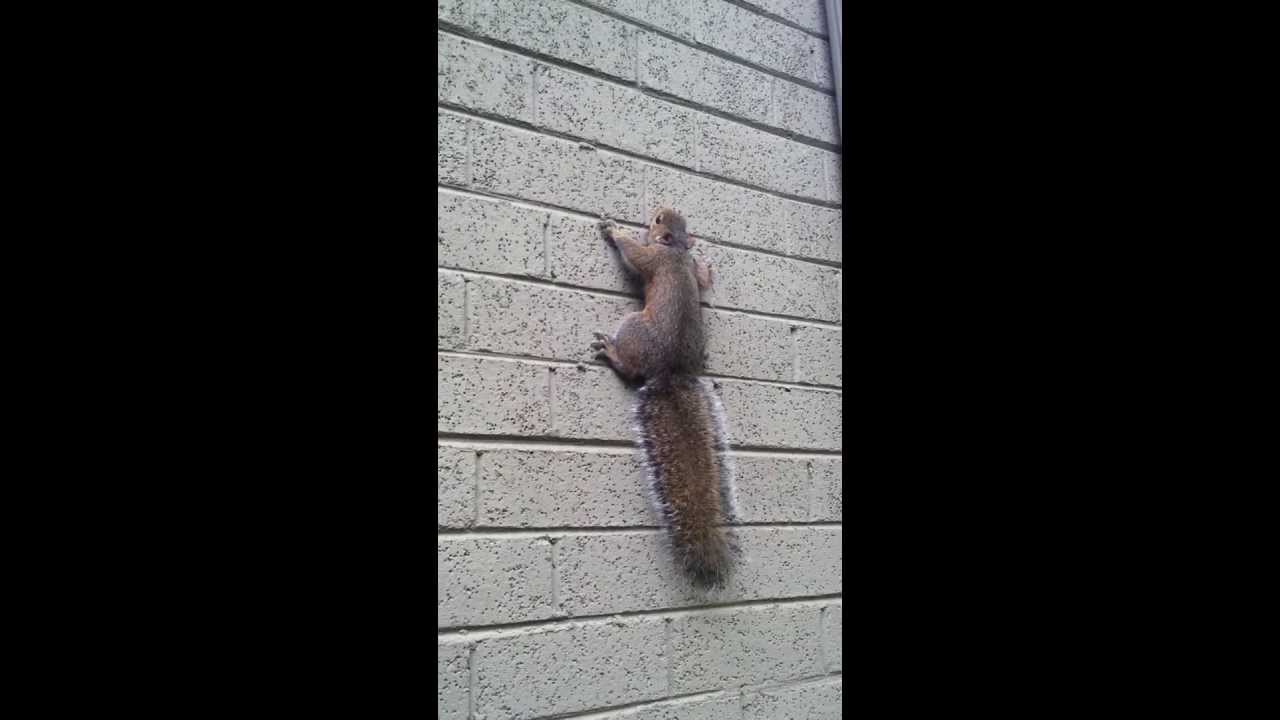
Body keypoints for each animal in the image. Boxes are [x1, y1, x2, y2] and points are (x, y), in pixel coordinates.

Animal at [594, 208, 737, 589]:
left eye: (658, 220)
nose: (659, 207)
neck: (675, 250)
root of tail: (668, 372)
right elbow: (701, 280)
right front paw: (706, 267)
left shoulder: (654, 259)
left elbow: (635, 255)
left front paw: (613, 230)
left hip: (633, 327)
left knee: (629, 367)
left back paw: (612, 353)